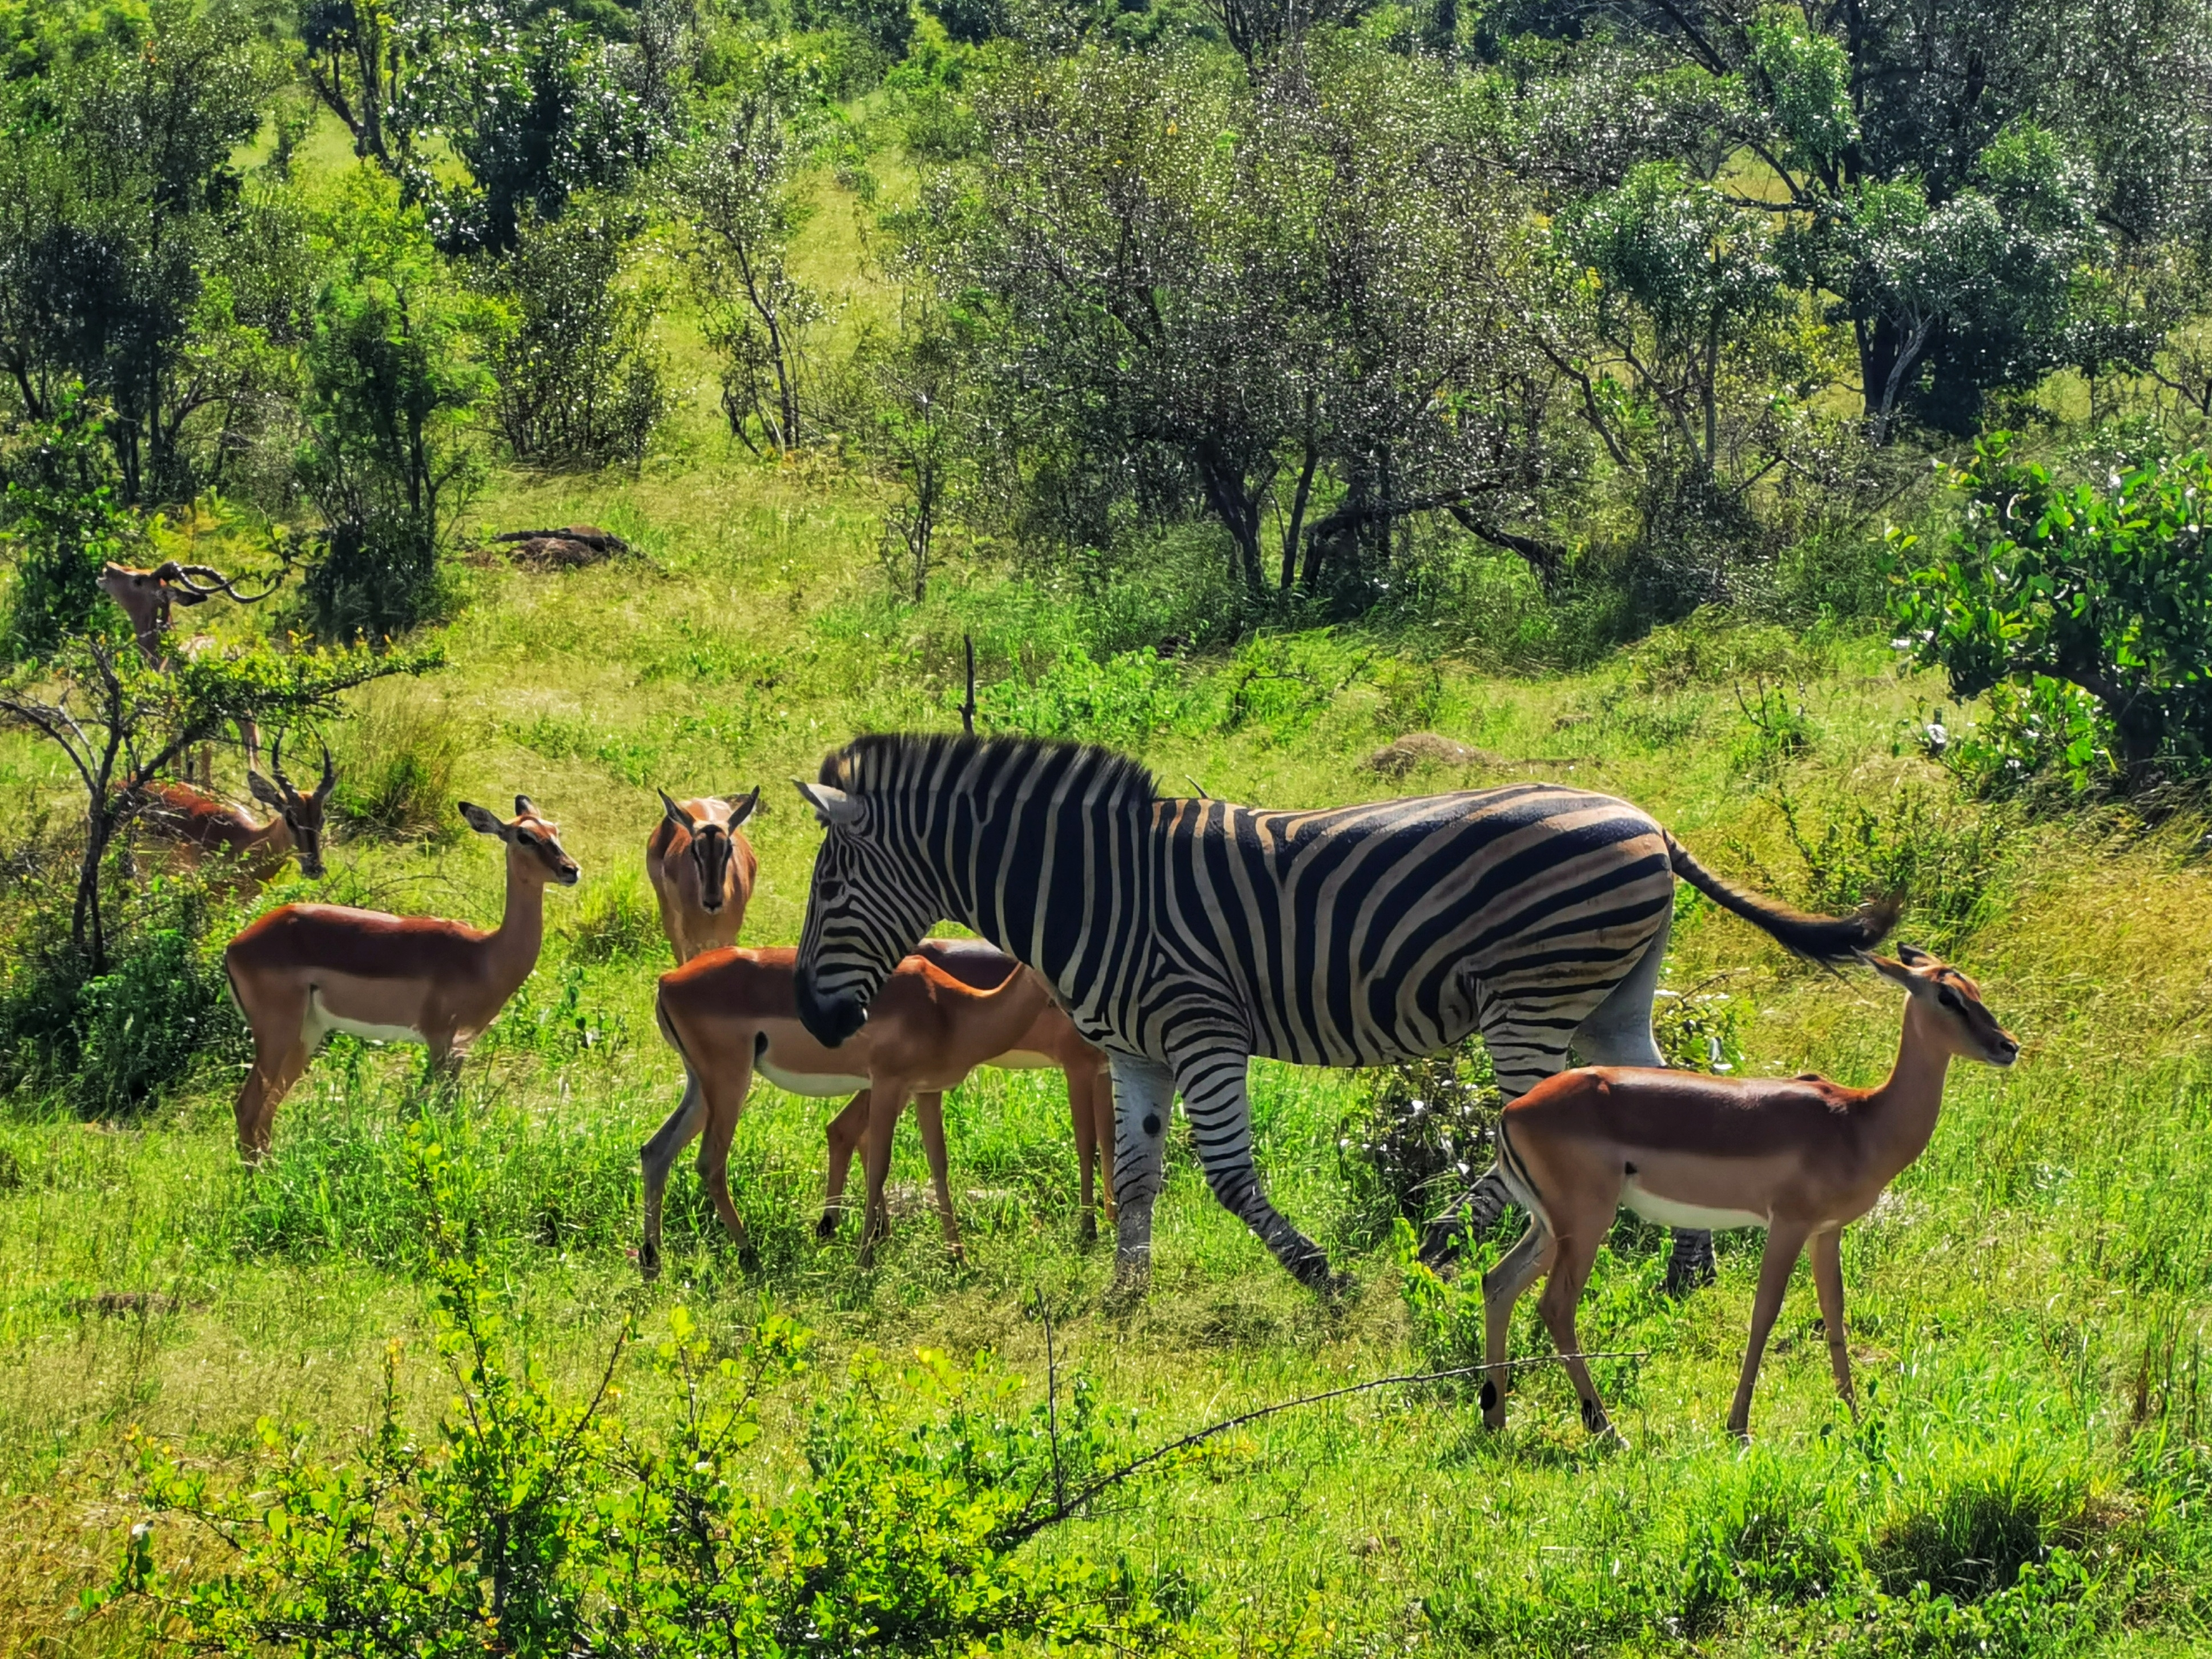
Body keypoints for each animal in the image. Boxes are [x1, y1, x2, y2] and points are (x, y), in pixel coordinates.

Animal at [787, 738, 1893, 1300]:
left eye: (828, 890)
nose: (814, 1013)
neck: (1092, 890)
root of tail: (1647, 822)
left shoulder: (1200, 1026)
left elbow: (1227, 1177)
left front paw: (1320, 1275)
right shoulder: (1135, 1051)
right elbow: (1137, 1176)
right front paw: (1123, 1299)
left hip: (1532, 997)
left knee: (1527, 1135)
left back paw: (1439, 1246)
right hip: (1609, 994)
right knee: (1658, 1088)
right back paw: (1684, 1267)